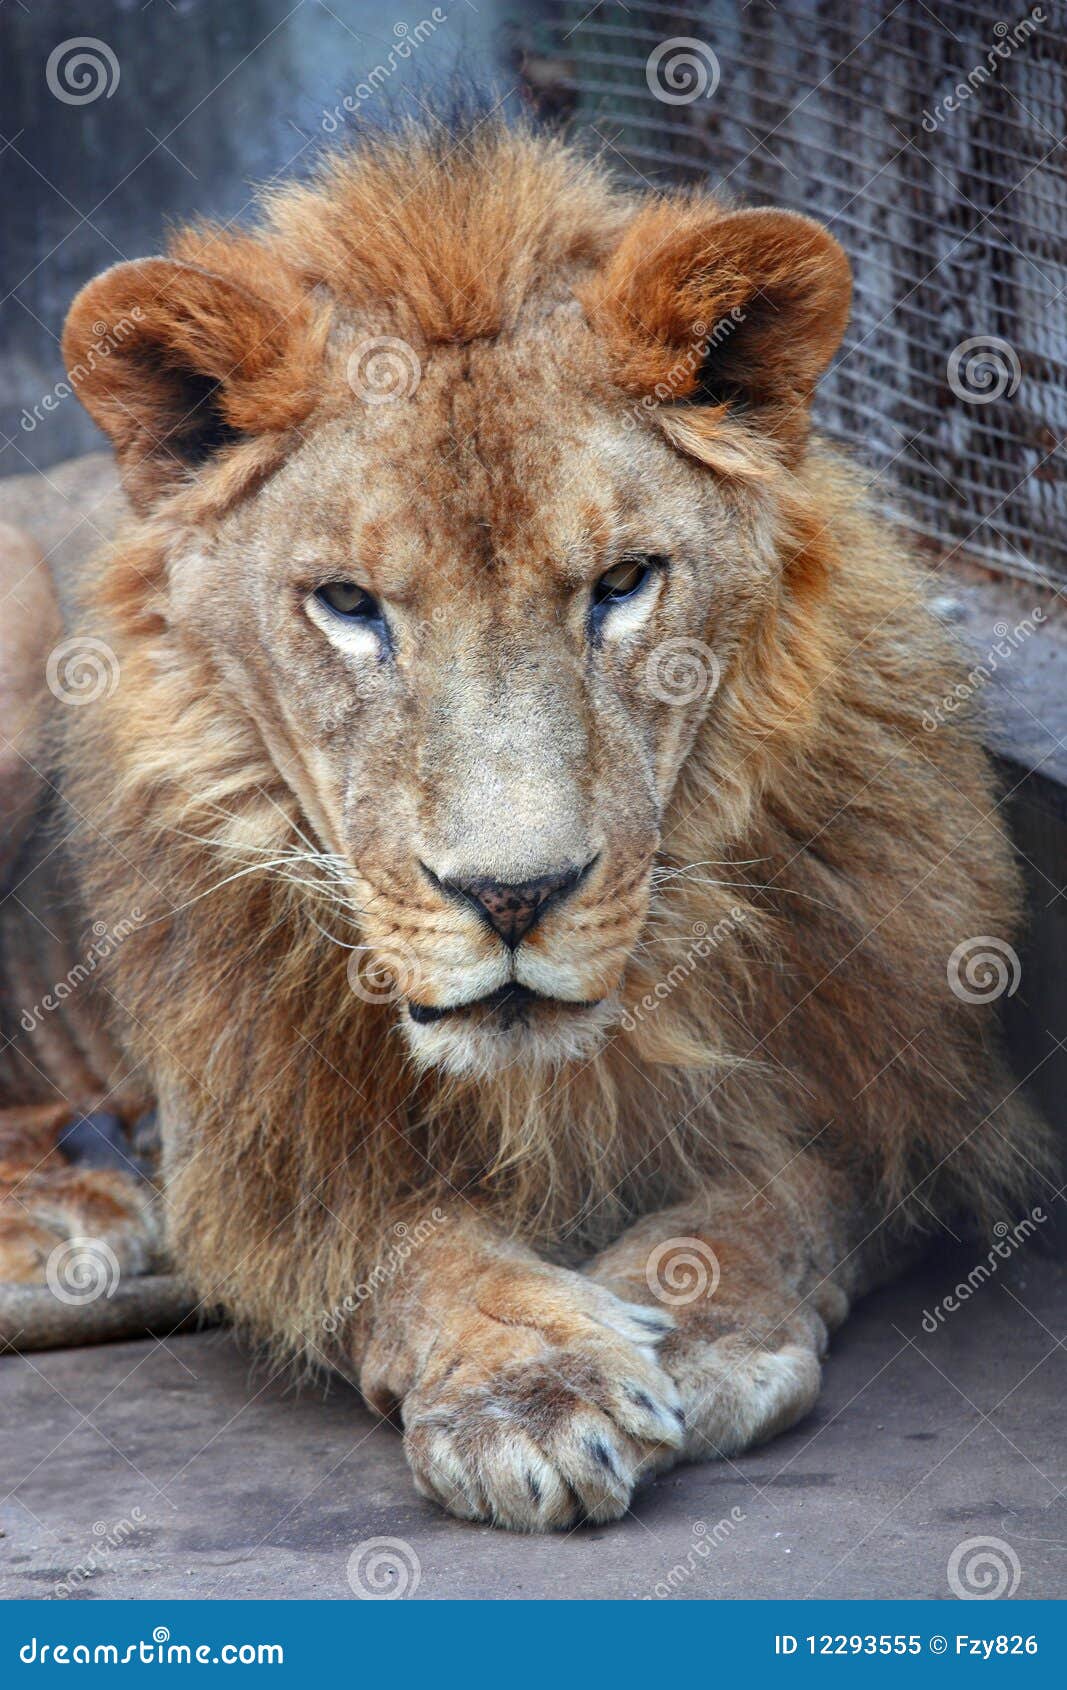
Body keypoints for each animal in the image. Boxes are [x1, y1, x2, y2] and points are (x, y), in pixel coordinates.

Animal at [0, 116, 1050, 1531]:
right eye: (348, 604)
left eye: (621, 585)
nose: (513, 897)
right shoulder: (268, 1163)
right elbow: (415, 1247)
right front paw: (536, 1384)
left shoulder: (908, 1086)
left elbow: (779, 1192)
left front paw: (690, 1322)